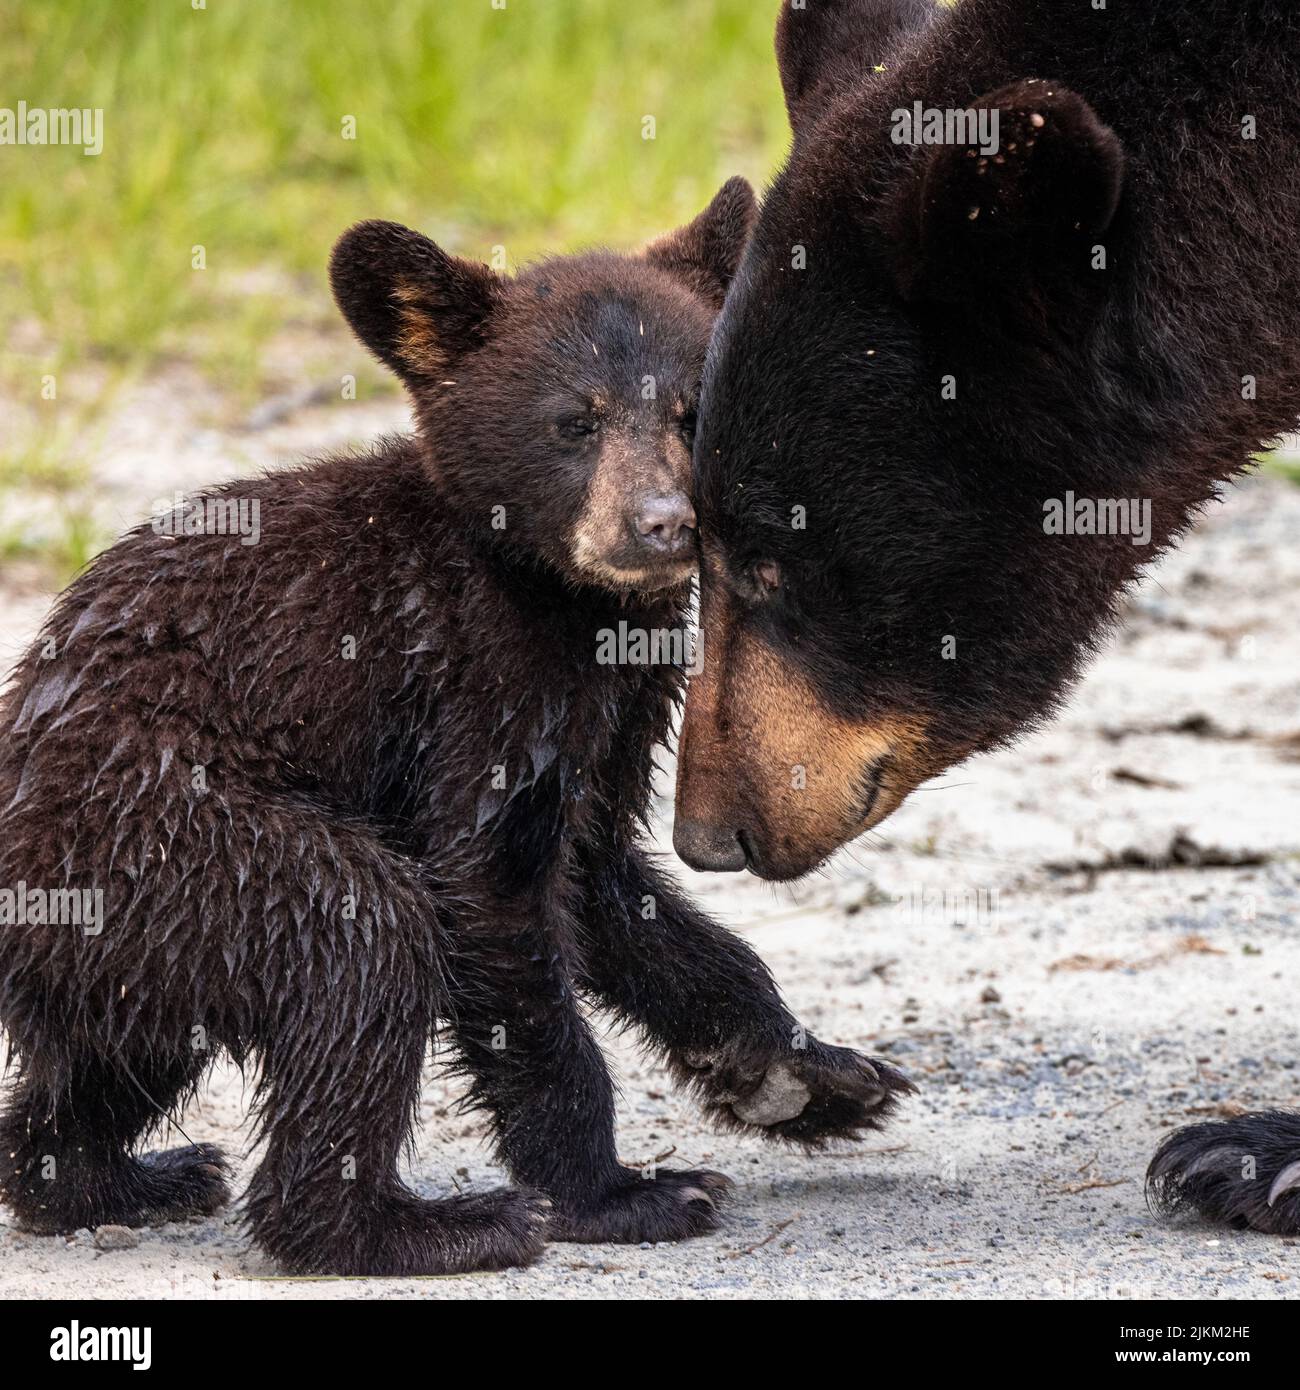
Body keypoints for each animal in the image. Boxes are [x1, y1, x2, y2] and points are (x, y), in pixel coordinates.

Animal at [0, 177, 905, 1277]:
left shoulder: (612, 713)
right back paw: (417, 1224)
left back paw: (111, 1175)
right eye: (575, 422)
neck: (557, 594)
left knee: (124, 1047)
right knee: (363, 941)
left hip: (126, 937)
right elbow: (493, 898)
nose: (665, 524)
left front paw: (811, 1076)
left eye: (692, 412)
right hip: (165, 839)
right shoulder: (483, 684)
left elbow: (608, 883)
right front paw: (621, 1190)